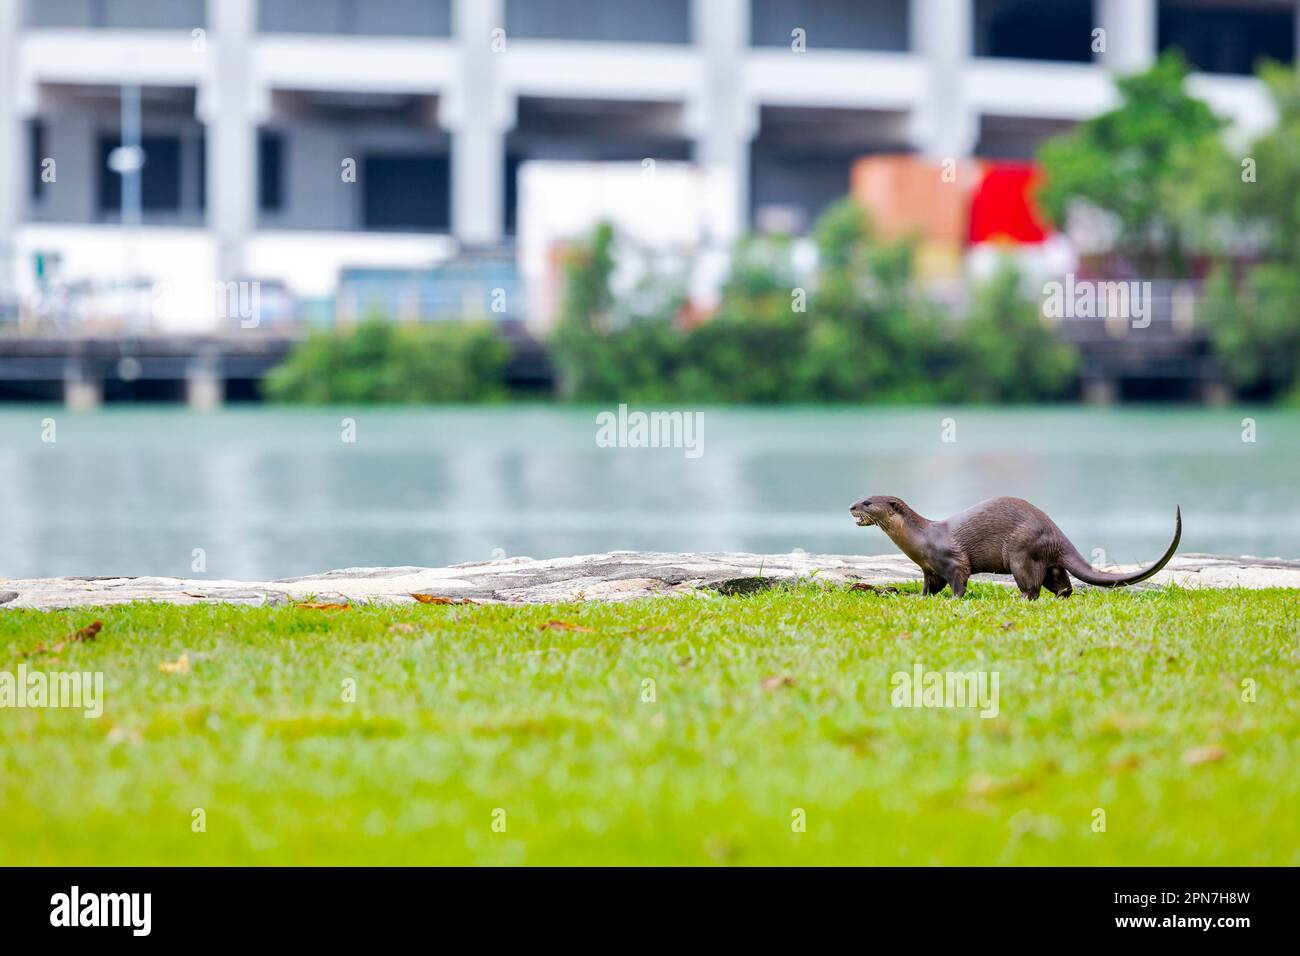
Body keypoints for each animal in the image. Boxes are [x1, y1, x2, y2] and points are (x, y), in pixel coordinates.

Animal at [848, 496, 1181, 600]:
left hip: (1021, 553)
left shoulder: (953, 561)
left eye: (868, 502)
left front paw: (953, 600)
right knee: (1062, 583)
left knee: (1031, 587)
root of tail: (1055, 532)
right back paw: (1059, 597)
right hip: (1047, 559)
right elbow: (929, 587)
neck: (921, 538)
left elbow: (959, 582)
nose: (851, 505)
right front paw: (919, 598)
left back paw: (1019, 598)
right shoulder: (930, 570)